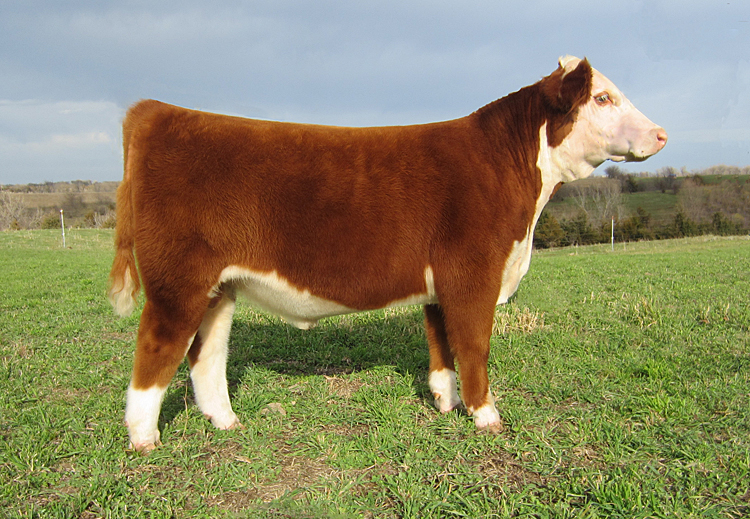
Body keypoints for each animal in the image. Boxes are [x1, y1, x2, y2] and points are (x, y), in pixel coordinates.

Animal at [109, 56, 666, 452]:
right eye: (603, 97)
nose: (662, 133)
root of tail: (158, 112)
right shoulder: (474, 271)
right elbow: (474, 346)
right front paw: (486, 416)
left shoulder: (442, 281)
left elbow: (442, 345)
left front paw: (445, 403)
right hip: (177, 283)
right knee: (156, 349)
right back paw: (144, 439)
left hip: (219, 287)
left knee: (207, 354)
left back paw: (226, 422)